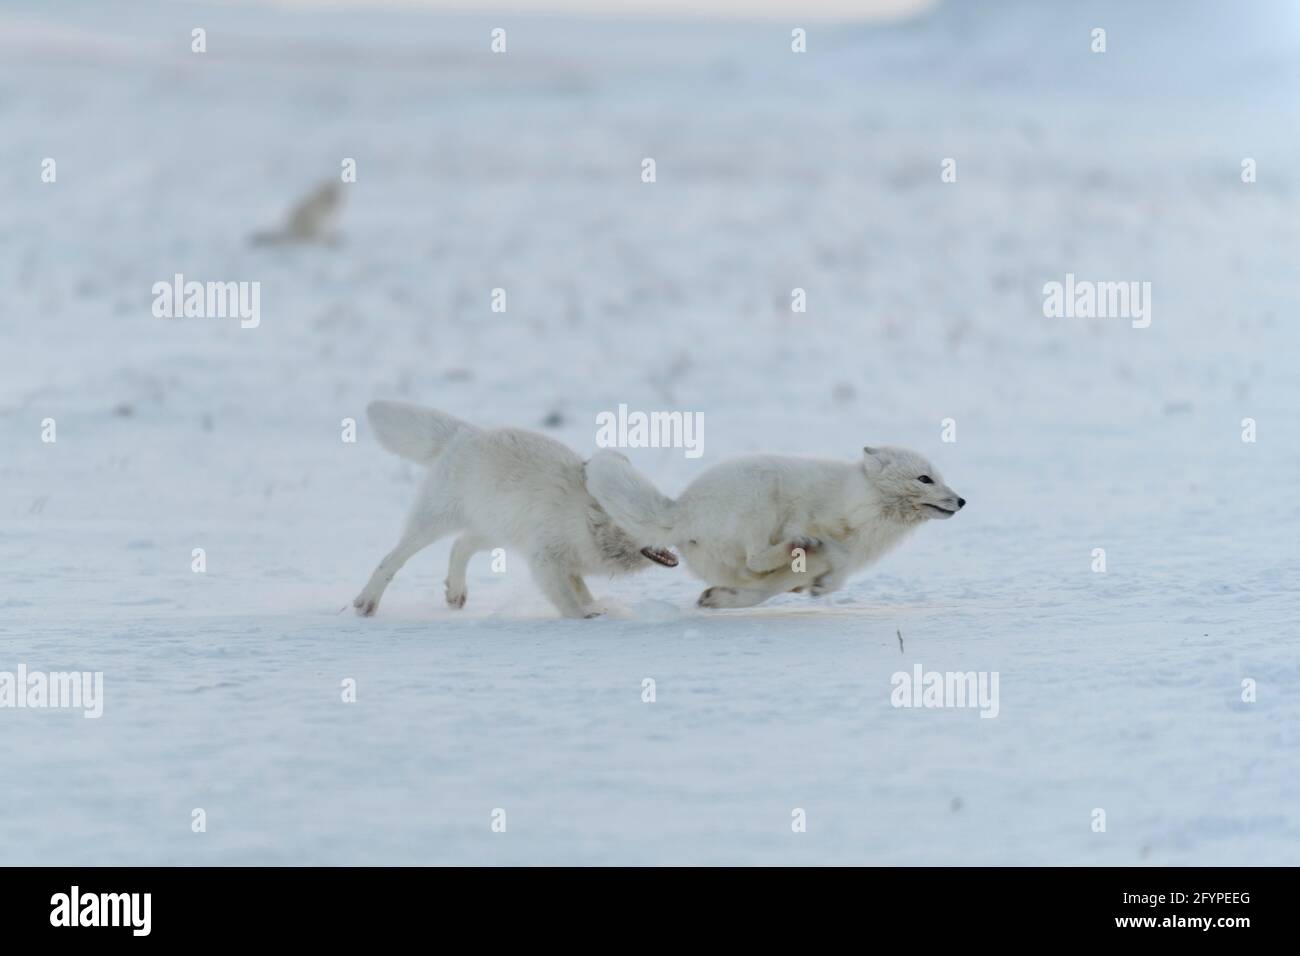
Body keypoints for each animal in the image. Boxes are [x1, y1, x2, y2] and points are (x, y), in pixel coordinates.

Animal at [353, 401, 677, 620]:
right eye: (641, 519)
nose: (675, 527)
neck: (585, 518)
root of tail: (465, 434)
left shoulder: (566, 564)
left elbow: (582, 591)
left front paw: (596, 607)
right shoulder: (545, 561)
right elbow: (568, 601)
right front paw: (586, 616)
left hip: (497, 532)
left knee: (460, 544)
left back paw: (456, 593)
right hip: (434, 524)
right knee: (392, 560)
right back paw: (366, 602)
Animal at [584, 445, 965, 609]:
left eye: (939, 477)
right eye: (925, 479)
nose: (961, 501)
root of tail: (682, 509)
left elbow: (780, 585)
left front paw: (818, 587)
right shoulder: (812, 520)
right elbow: (835, 554)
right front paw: (822, 582)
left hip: (727, 560)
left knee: (752, 575)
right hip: (760, 498)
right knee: (756, 558)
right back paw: (798, 544)